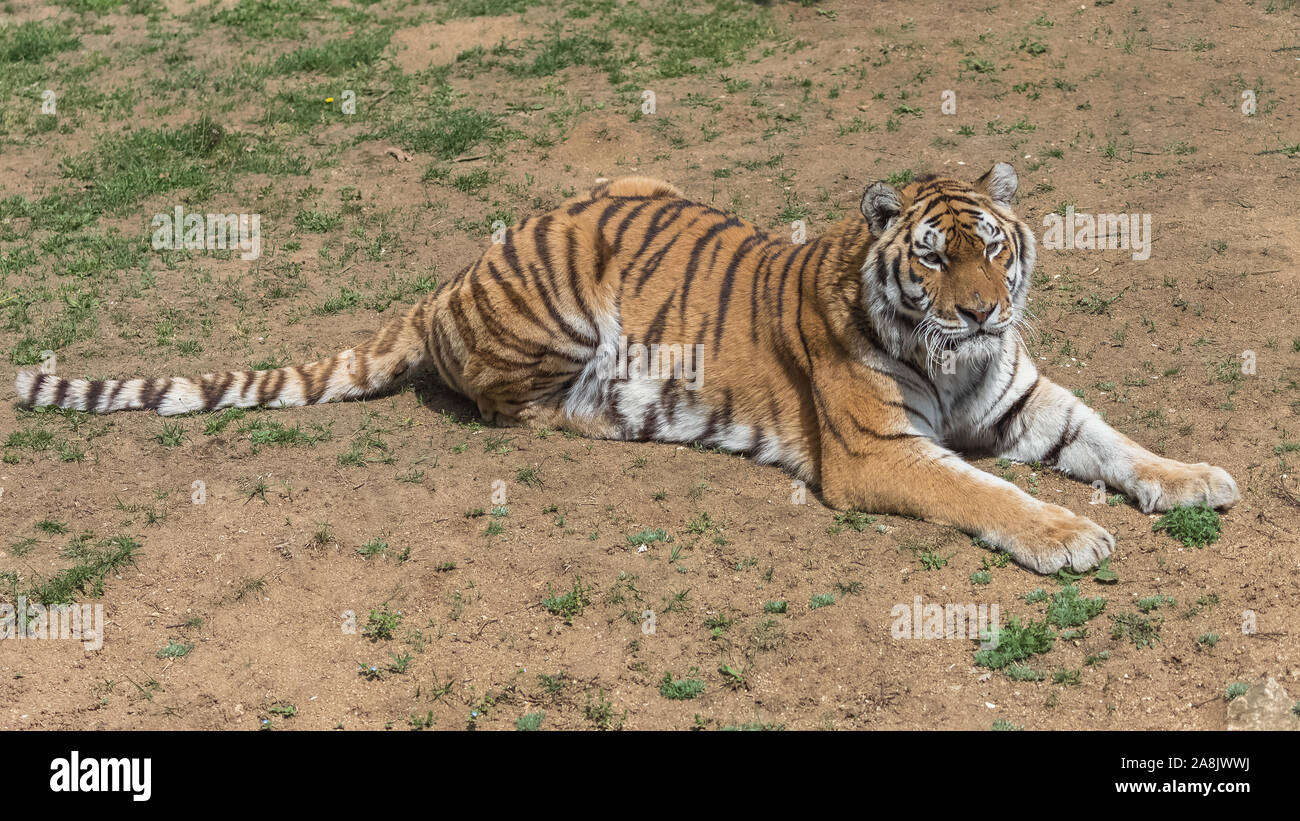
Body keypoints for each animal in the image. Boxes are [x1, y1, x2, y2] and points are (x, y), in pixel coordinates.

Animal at [14, 164, 1239, 574]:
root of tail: (453, 272)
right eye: (934, 259)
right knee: (508, 406)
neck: (956, 359)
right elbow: (989, 491)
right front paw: (1068, 533)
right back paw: (602, 411)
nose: (983, 311)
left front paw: (1196, 479)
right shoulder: (878, 452)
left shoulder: (1030, 400)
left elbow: (1118, 441)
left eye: (992, 245)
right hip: (560, 306)